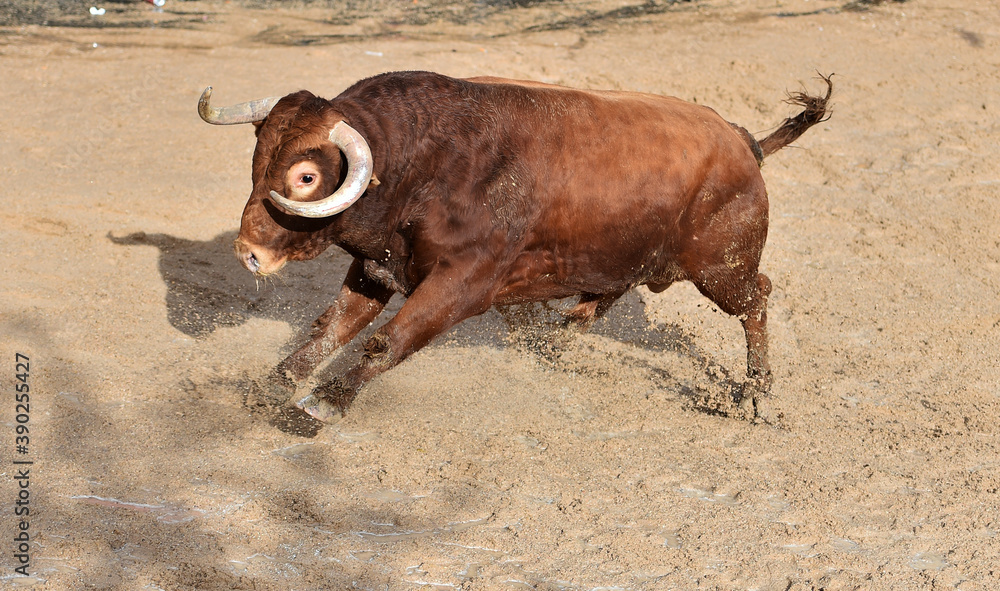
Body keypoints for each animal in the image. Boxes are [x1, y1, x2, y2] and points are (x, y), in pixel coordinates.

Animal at [198, 71, 831, 424]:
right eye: (258, 156)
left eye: (305, 176)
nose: (248, 252)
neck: (424, 165)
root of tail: (744, 142)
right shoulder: (378, 270)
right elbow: (328, 329)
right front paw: (273, 386)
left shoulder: (462, 283)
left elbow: (385, 343)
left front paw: (324, 402)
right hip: (634, 256)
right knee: (607, 293)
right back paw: (553, 339)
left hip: (721, 268)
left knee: (757, 298)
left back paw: (756, 398)